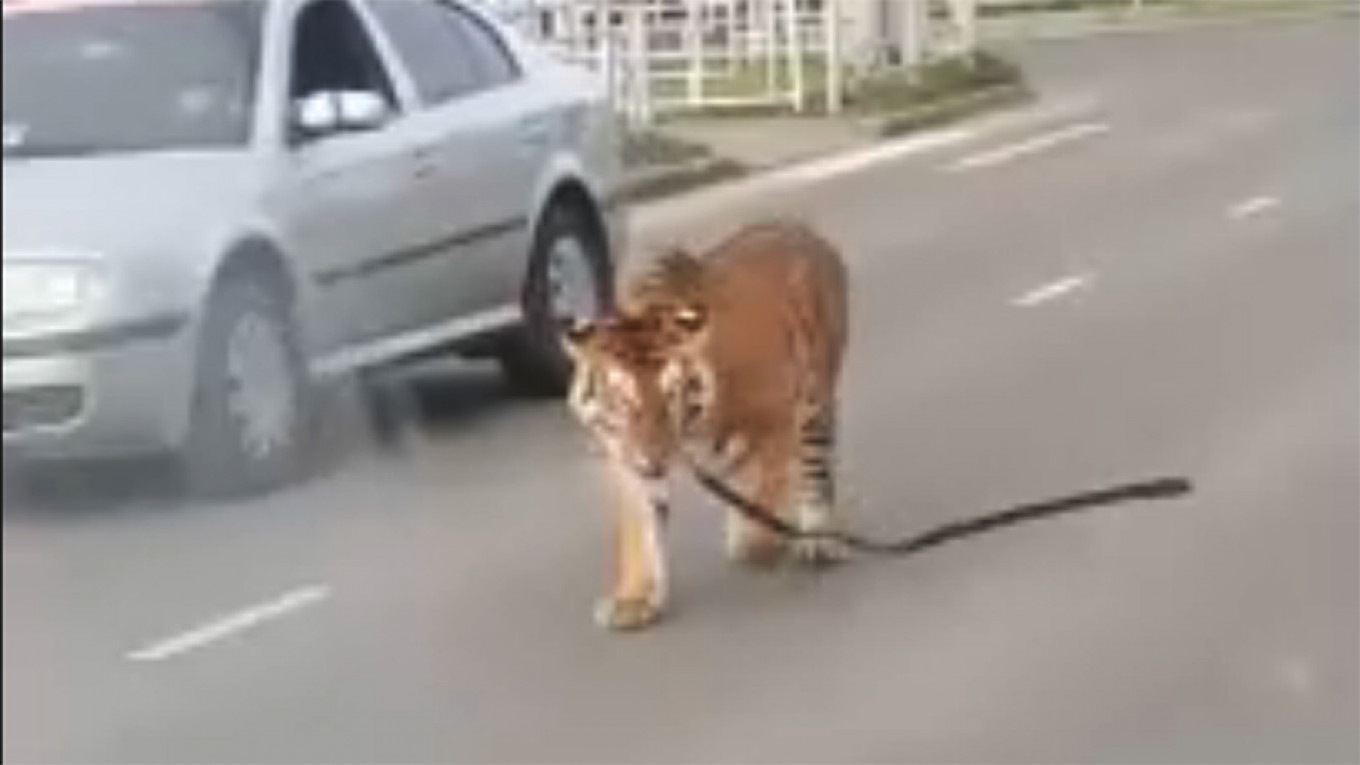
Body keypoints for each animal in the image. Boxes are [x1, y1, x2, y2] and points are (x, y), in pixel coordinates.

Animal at [561, 219, 849, 631]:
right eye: (622, 398)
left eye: (670, 394)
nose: (655, 461)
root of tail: (797, 227)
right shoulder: (624, 455)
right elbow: (638, 528)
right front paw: (633, 598)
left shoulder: (776, 414)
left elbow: (770, 480)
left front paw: (756, 540)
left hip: (815, 398)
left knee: (815, 471)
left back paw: (815, 539)